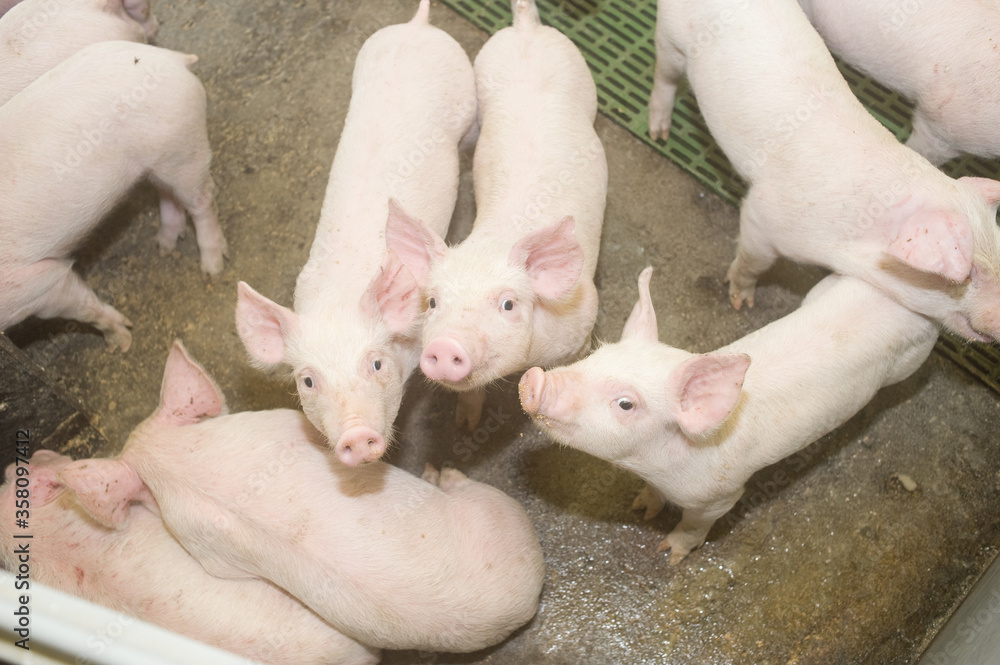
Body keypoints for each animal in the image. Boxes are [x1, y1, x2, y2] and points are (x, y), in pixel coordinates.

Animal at [0, 40, 226, 352]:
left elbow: (83, 308)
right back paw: (164, 246)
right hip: (161, 159)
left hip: (182, 148)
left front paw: (121, 343)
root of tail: (172, 59)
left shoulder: (32, 286)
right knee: (167, 192)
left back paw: (213, 268)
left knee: (203, 198)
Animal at [386, 0, 607, 429]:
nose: (444, 345)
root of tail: (525, 29)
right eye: (433, 302)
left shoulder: (585, 315)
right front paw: (464, 425)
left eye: (508, 304)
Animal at [519, 268, 938, 564]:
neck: (655, 464)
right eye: (596, 354)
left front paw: (668, 554)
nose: (533, 380)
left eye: (626, 404)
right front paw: (640, 508)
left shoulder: (720, 495)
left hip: (911, 361)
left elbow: (695, 525)